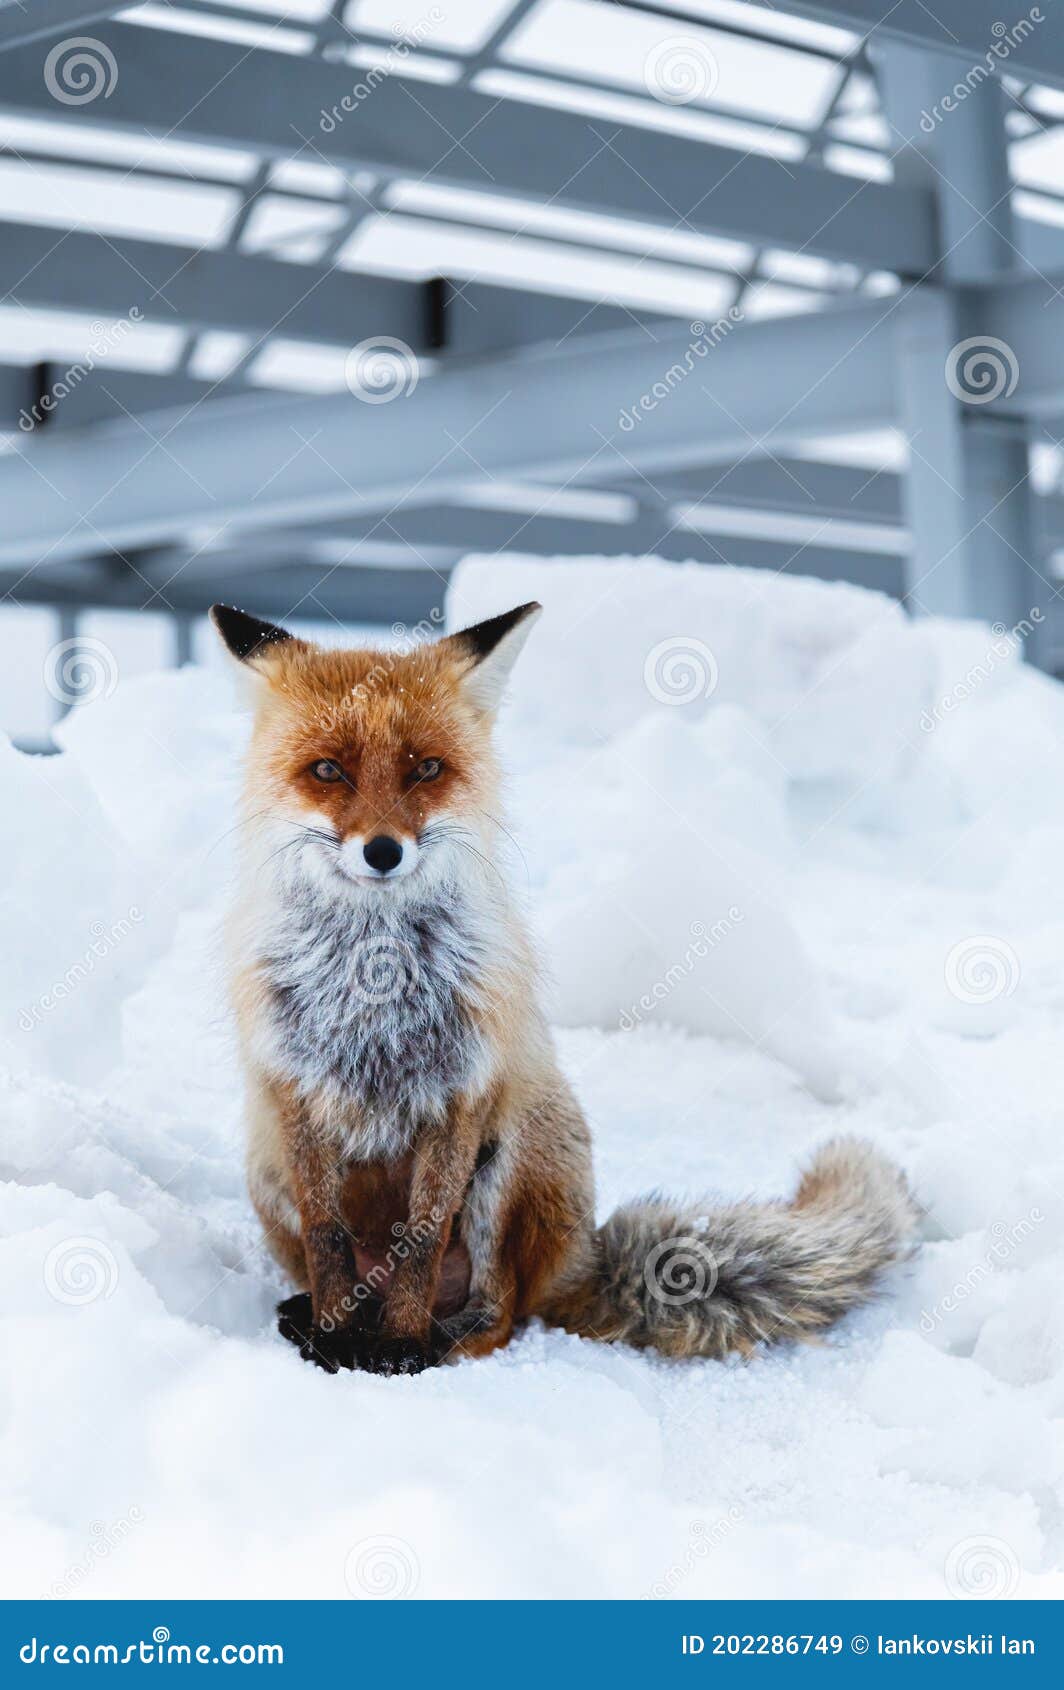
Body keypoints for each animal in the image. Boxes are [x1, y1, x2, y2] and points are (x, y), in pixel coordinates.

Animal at [211, 598, 917, 1376]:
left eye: (426, 769)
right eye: (328, 770)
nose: (384, 851)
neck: (372, 976)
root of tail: (583, 1259)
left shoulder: (463, 1089)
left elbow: (420, 1240)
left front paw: (394, 1349)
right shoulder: (294, 1087)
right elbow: (329, 1236)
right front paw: (336, 1338)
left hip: (509, 1161)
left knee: (501, 1313)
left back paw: (432, 1343)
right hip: (264, 1166)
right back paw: (318, 1319)